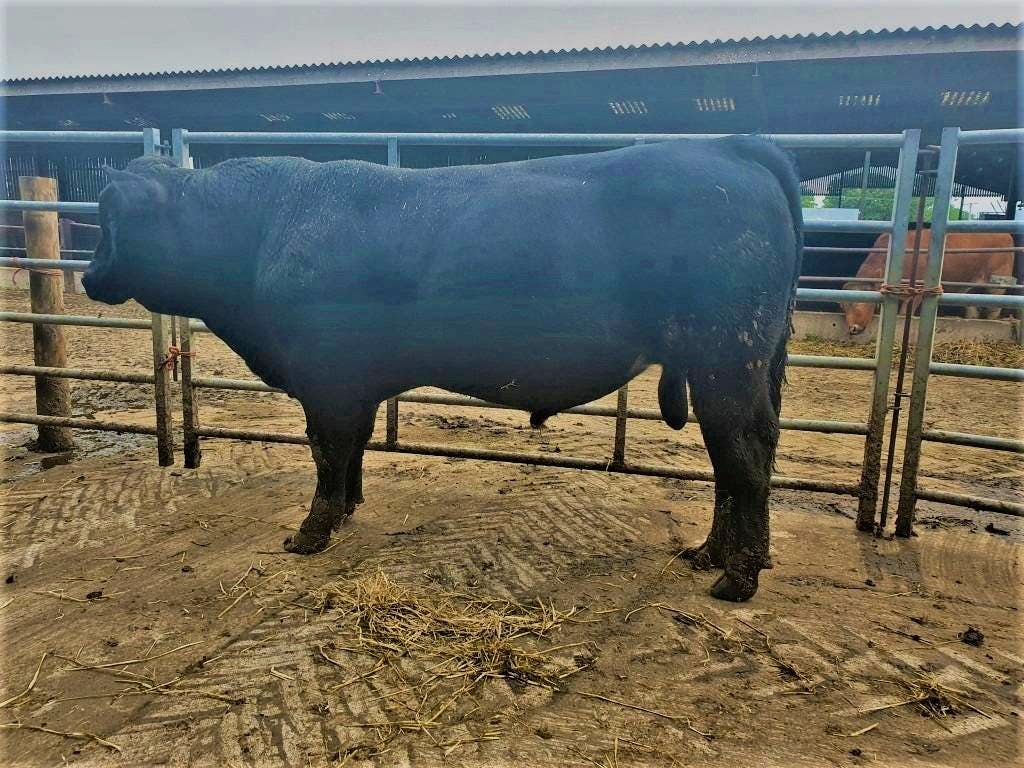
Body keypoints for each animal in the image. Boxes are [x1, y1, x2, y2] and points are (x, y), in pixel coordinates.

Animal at [82, 137, 803, 602]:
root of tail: (730, 148)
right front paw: (347, 512)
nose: (88, 277)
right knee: (737, 461)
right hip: (733, 363)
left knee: (743, 454)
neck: (267, 227)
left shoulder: (326, 372)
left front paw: (311, 533)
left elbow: (327, 450)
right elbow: (351, 448)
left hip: (725, 357)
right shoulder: (353, 381)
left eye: (111, 214)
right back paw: (711, 554)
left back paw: (737, 577)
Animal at [841, 231, 1015, 335]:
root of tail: (1005, 235)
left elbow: (904, 314)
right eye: (842, 306)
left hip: (998, 282)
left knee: (995, 306)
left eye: (861, 301)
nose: (852, 328)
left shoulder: (919, 289)